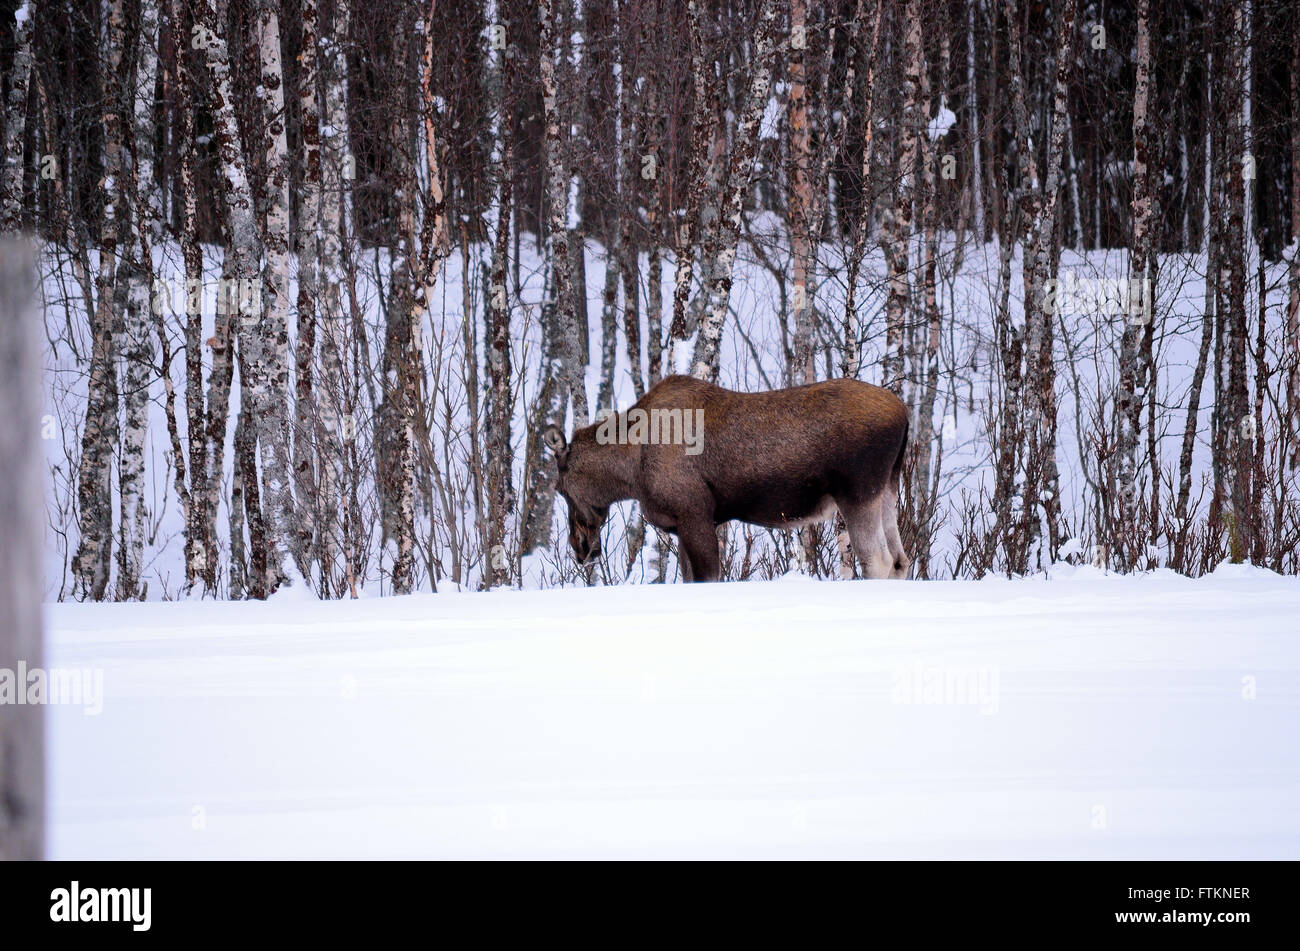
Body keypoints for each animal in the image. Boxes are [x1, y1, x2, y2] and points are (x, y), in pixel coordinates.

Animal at [542, 375, 911, 582]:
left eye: (559, 488)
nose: (580, 547)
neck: (631, 469)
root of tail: (905, 414)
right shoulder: (686, 524)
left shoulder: (694, 515)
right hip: (888, 490)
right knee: (899, 561)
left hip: (858, 492)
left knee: (877, 561)